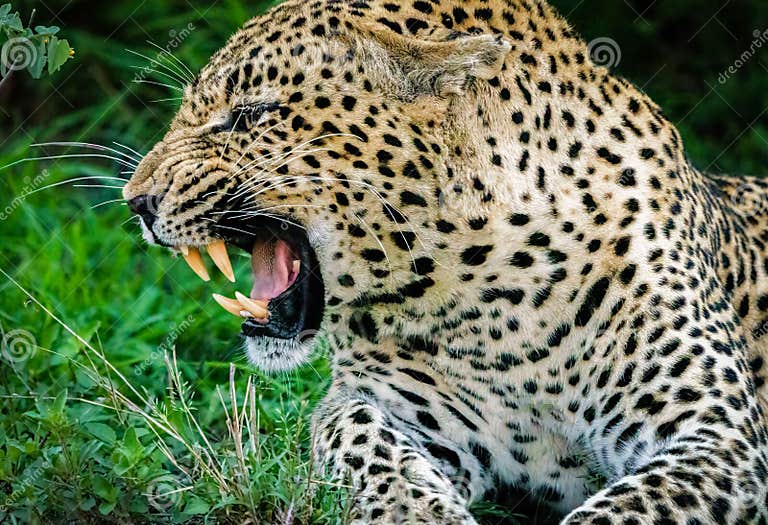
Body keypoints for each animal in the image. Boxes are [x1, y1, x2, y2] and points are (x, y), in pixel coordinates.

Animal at [122, 0, 768, 523]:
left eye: (251, 116)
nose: (136, 201)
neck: (498, 306)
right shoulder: (381, 404)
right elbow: (362, 440)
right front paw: (417, 513)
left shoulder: (720, 436)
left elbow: (626, 508)